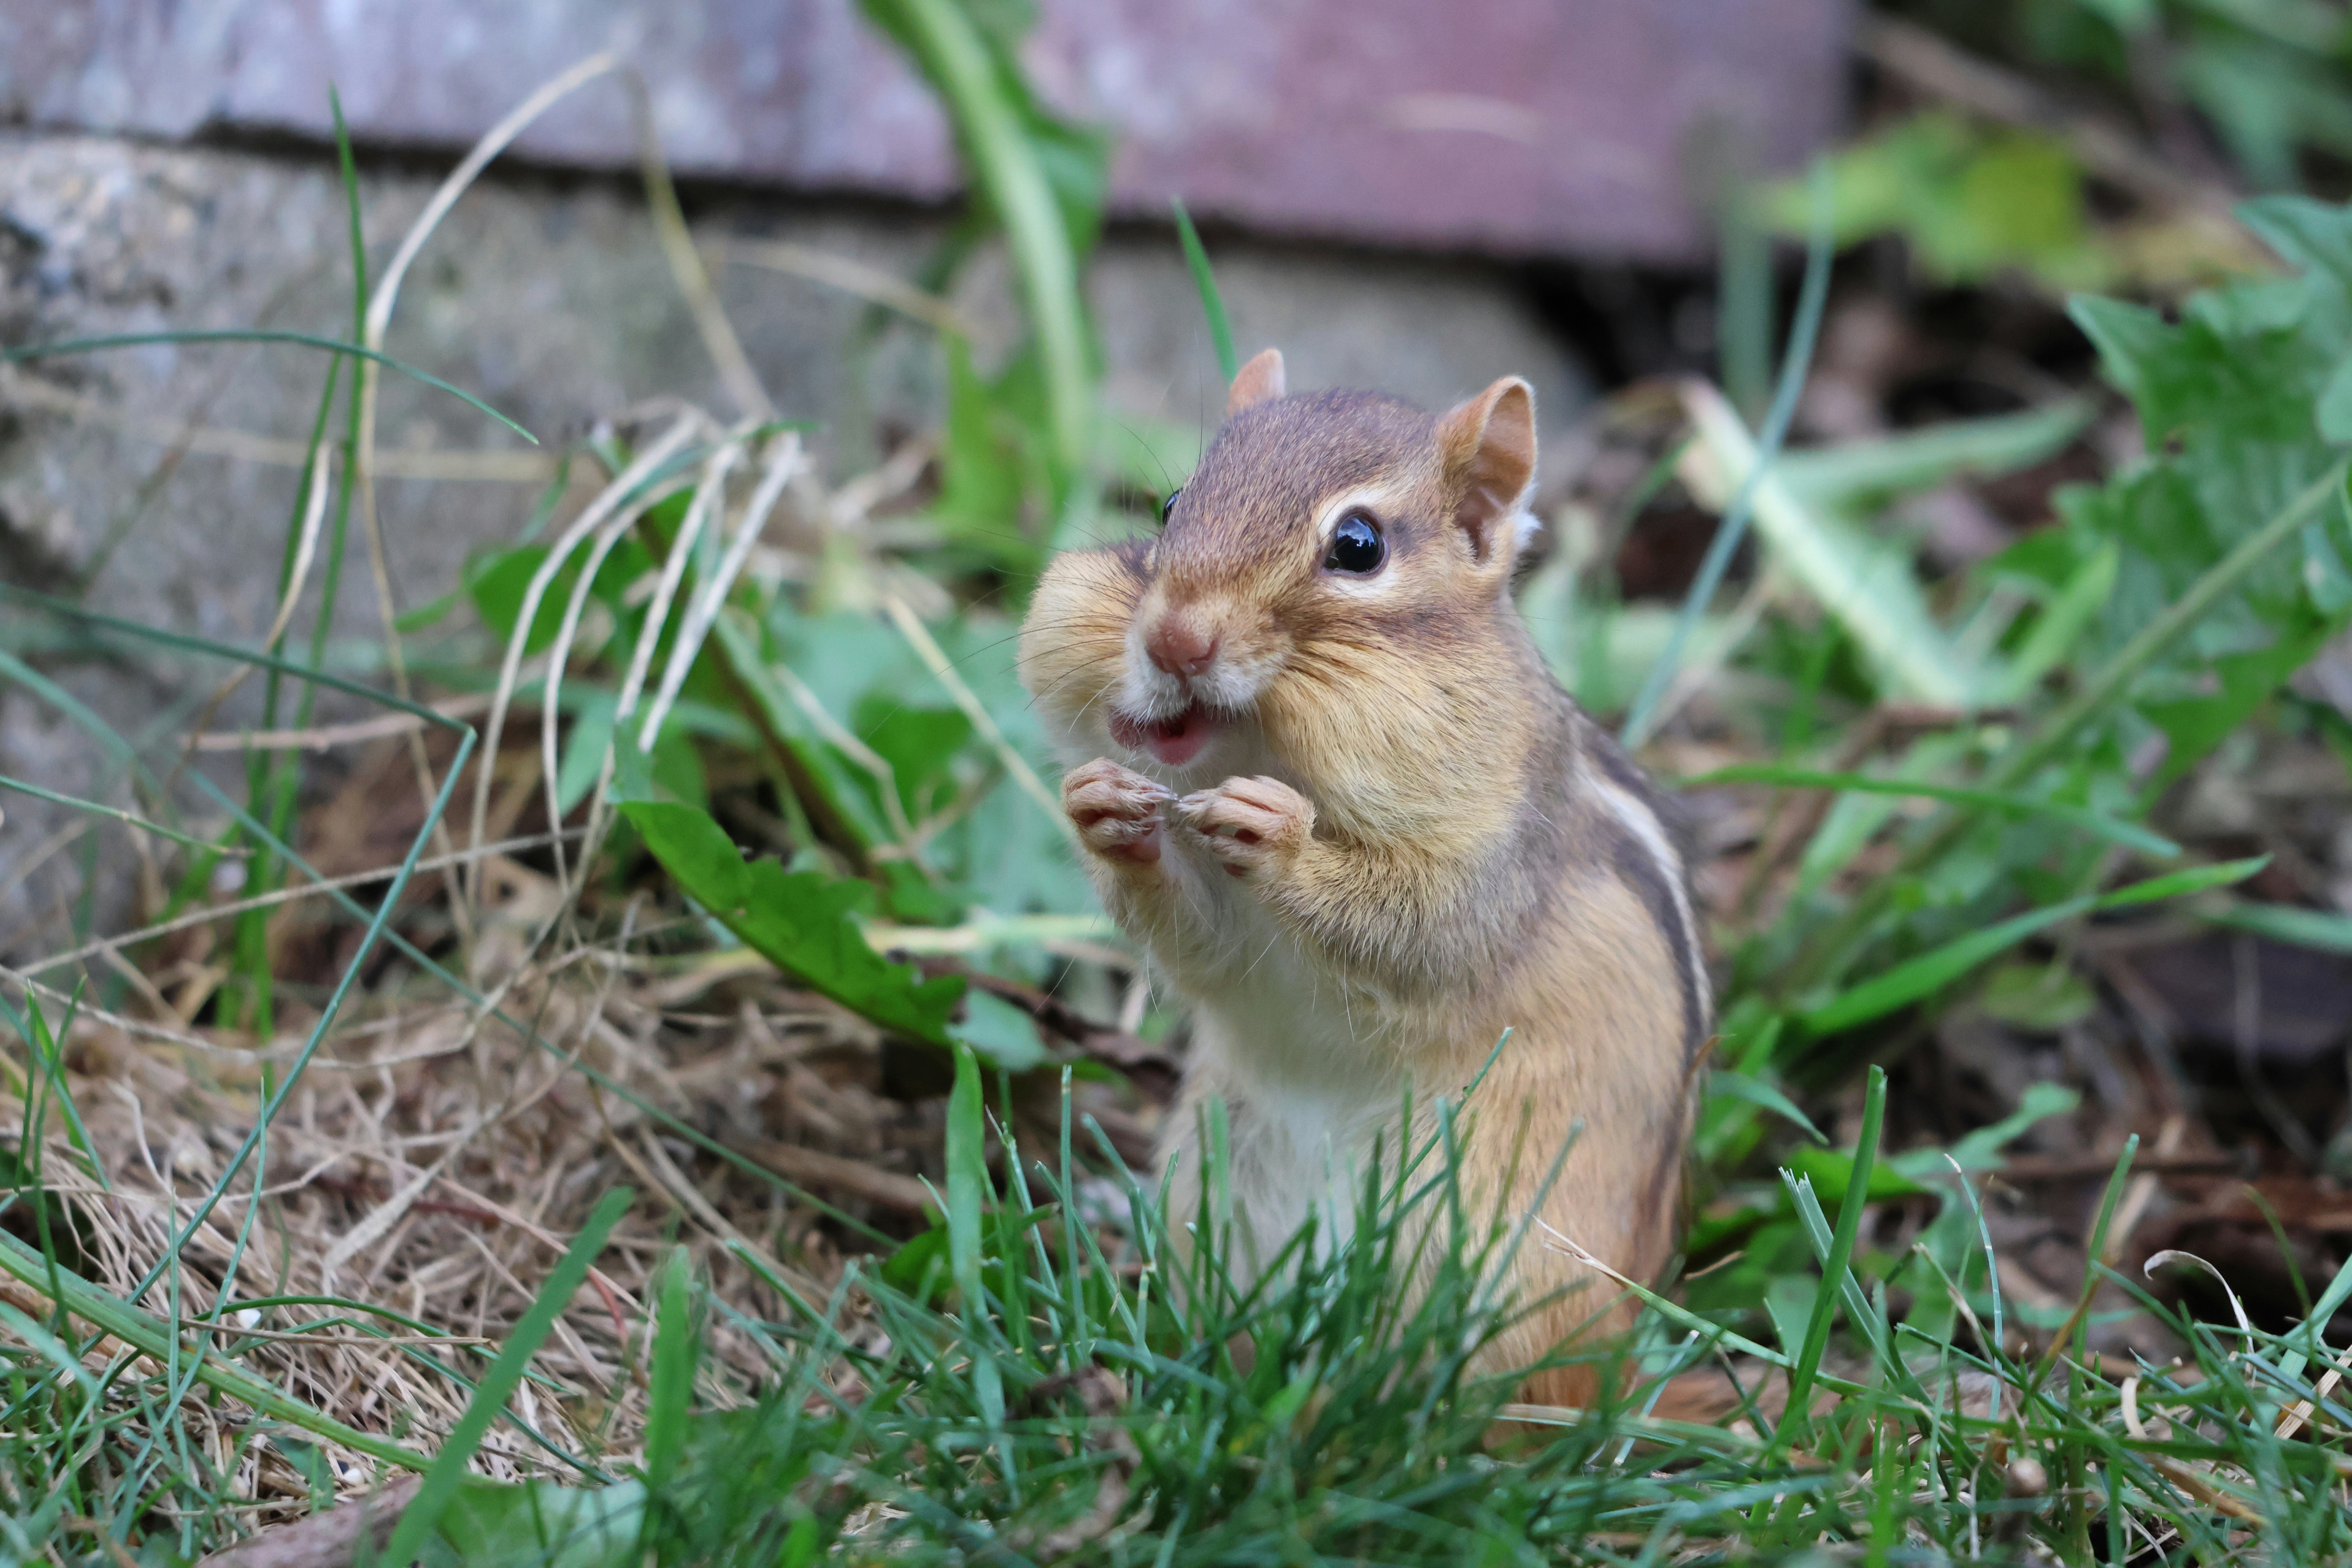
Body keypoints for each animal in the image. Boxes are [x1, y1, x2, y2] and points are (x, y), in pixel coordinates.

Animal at [1017, 349, 1709, 1407]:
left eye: (1357, 546)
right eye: (1173, 505)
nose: (1172, 640)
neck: (1263, 747)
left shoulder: (1490, 867)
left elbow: (1421, 935)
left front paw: (1282, 838)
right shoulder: (1233, 939)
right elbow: (1206, 949)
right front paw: (1102, 810)